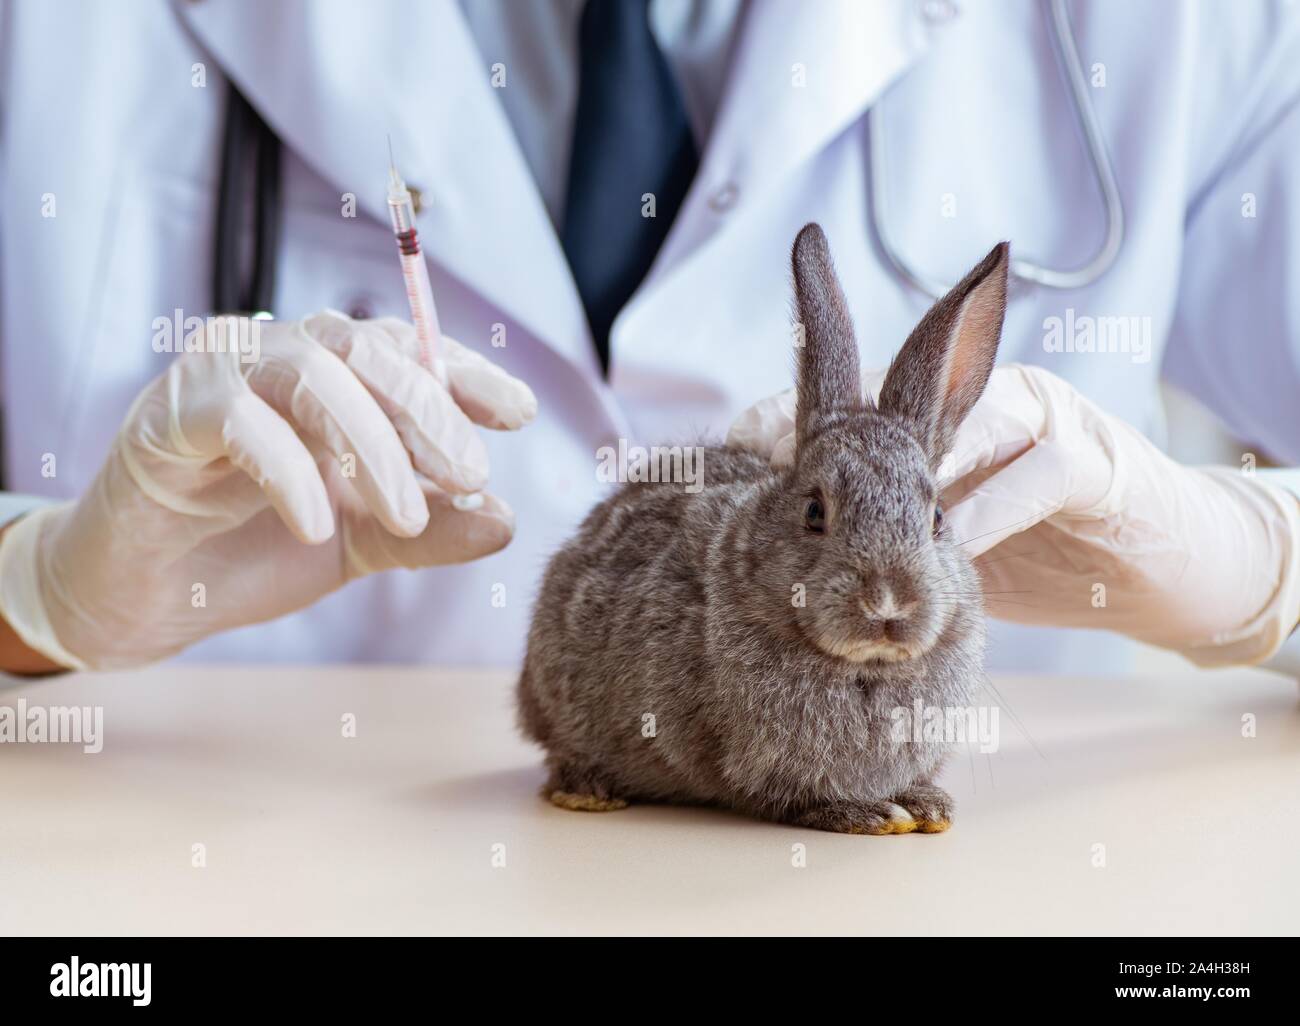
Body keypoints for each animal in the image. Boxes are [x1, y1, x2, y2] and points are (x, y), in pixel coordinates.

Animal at [518, 223, 1009, 834]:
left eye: (937, 516)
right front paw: (869, 813)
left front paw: (925, 804)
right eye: (815, 511)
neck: (865, 665)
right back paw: (588, 792)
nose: (888, 605)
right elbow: (782, 795)